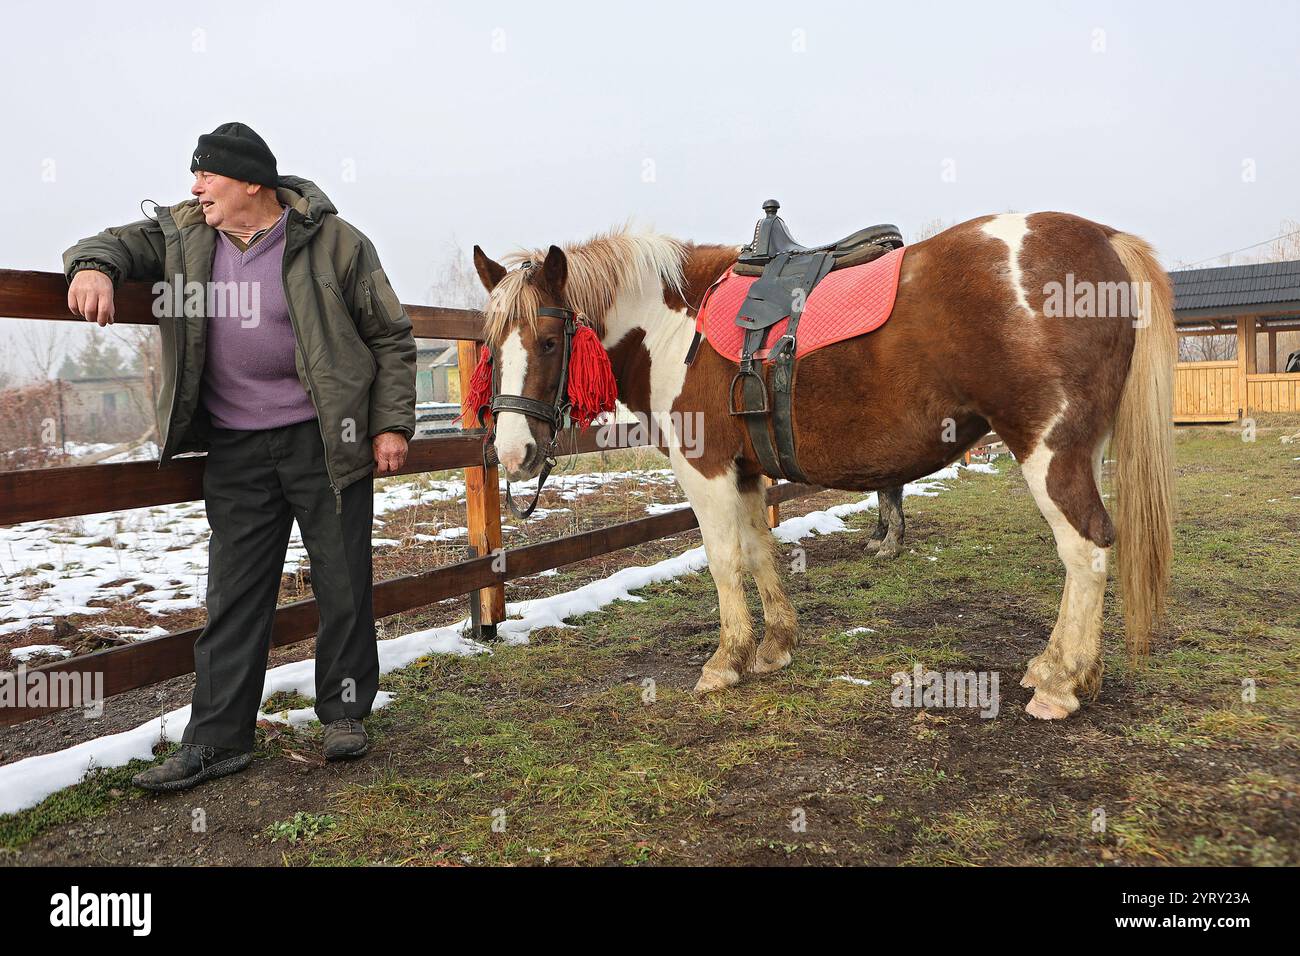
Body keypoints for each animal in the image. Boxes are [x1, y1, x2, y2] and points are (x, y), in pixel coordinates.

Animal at [469, 212, 1175, 719]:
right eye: (490, 346)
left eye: (550, 341)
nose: (512, 452)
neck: (678, 324)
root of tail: (1103, 239)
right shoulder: (746, 471)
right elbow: (760, 554)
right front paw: (774, 647)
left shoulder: (706, 470)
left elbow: (724, 562)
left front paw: (726, 661)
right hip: (1083, 450)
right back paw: (1056, 667)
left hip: (1048, 451)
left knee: (1085, 550)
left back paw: (1063, 684)